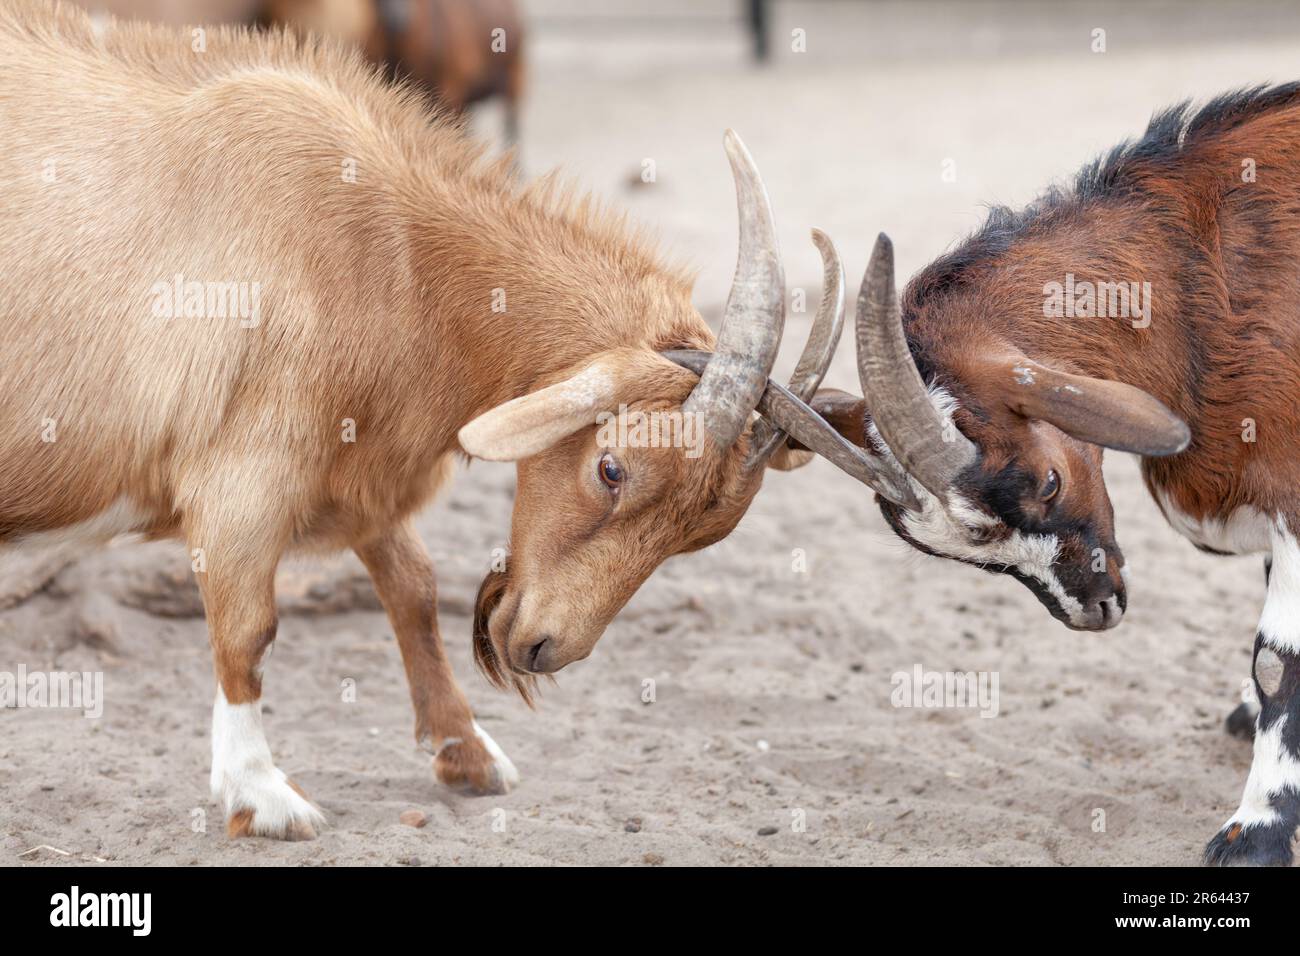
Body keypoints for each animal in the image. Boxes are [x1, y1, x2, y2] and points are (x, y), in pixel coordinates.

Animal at [0, 1, 889, 839]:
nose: (540, 648)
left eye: (703, 533)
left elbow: (414, 587)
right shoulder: (245, 475)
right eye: (611, 467)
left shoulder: (356, 472)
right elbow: (250, 627)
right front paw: (262, 796)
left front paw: (466, 751)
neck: (390, 255)